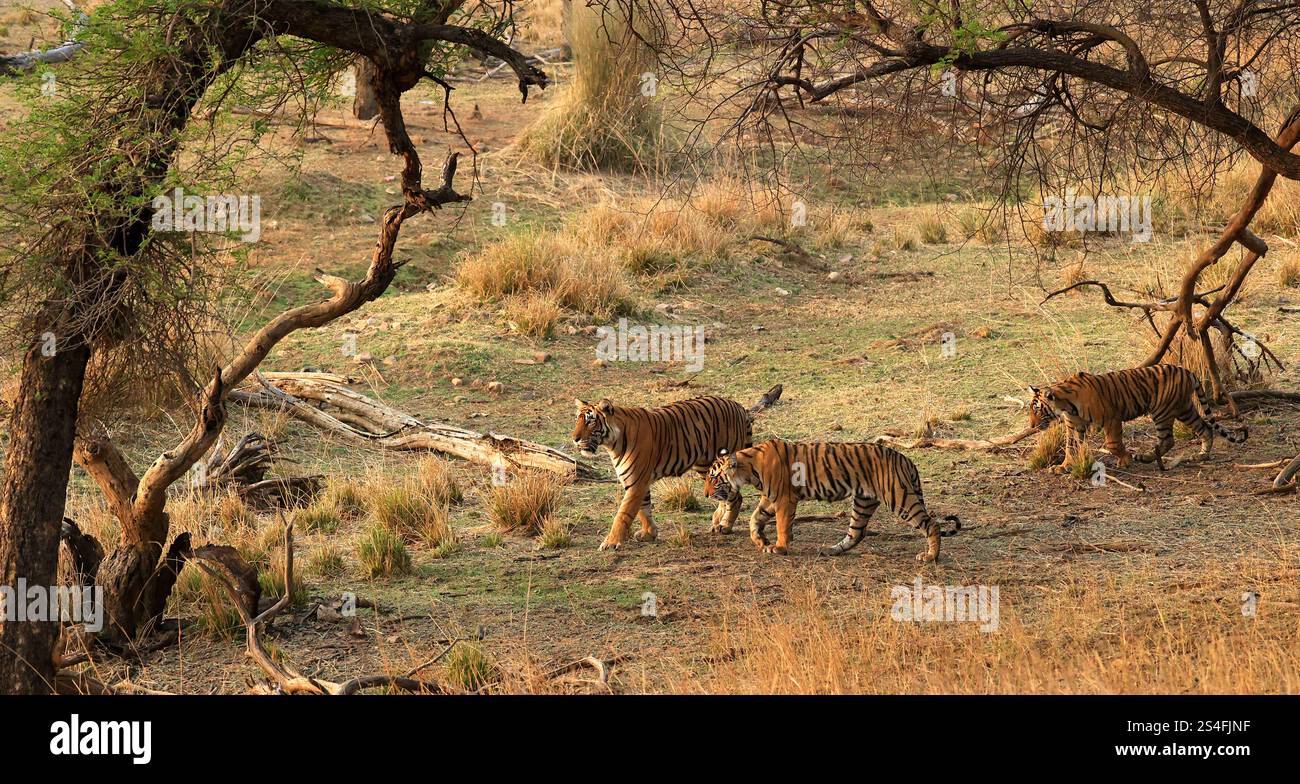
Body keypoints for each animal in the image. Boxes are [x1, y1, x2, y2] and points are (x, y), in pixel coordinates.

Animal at [572, 387, 782, 551]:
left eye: (590, 421)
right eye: (577, 420)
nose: (574, 438)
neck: (612, 443)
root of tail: (738, 406)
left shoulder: (636, 481)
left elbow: (624, 514)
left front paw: (611, 543)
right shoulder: (637, 481)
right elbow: (644, 509)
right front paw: (649, 533)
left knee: (735, 497)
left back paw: (725, 526)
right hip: (705, 465)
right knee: (723, 492)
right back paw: (717, 520)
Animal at [704, 439, 961, 562]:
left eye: (713, 478)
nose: (706, 494)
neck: (748, 469)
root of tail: (906, 459)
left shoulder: (784, 498)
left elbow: (782, 525)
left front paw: (779, 547)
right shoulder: (769, 498)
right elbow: (755, 519)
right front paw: (761, 541)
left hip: (898, 497)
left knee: (931, 523)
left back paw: (930, 557)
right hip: (864, 501)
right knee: (856, 532)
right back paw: (831, 550)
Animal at [1028, 364, 1247, 470]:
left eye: (1037, 410)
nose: (1031, 426)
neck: (1066, 406)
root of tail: (1187, 371)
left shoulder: (1111, 419)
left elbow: (1113, 444)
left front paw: (1124, 461)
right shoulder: (1074, 425)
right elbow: (1070, 447)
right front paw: (1063, 467)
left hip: (1162, 411)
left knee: (1168, 439)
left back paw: (1144, 457)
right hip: (1184, 409)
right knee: (1205, 428)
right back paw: (1202, 455)